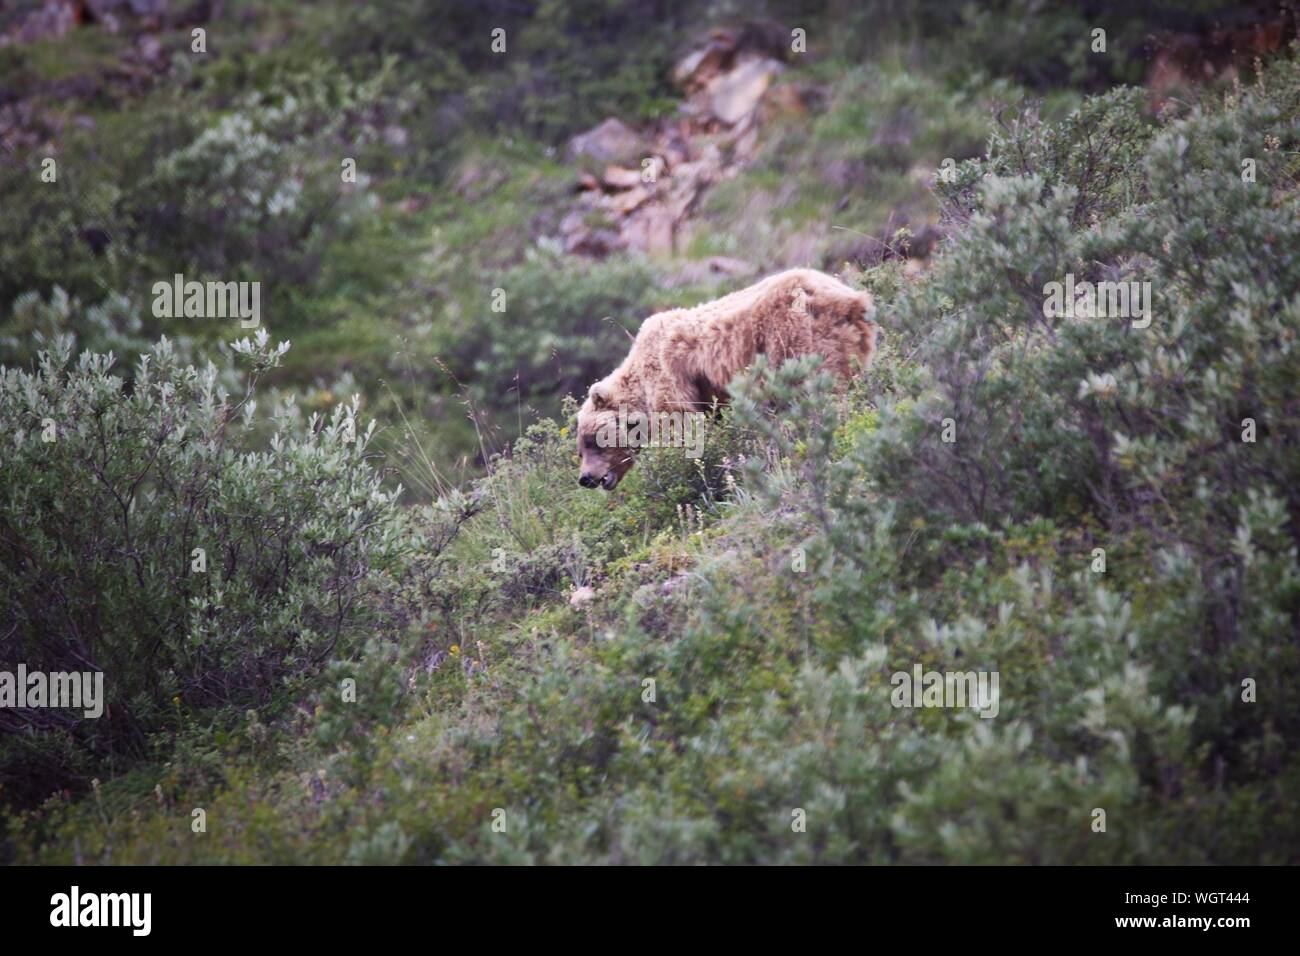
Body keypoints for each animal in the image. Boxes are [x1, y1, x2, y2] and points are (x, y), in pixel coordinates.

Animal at [576, 268, 879, 490]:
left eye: (592, 441)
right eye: (580, 449)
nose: (586, 478)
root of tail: (850, 299)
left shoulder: (669, 378)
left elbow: (680, 426)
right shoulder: (709, 394)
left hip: (794, 337)